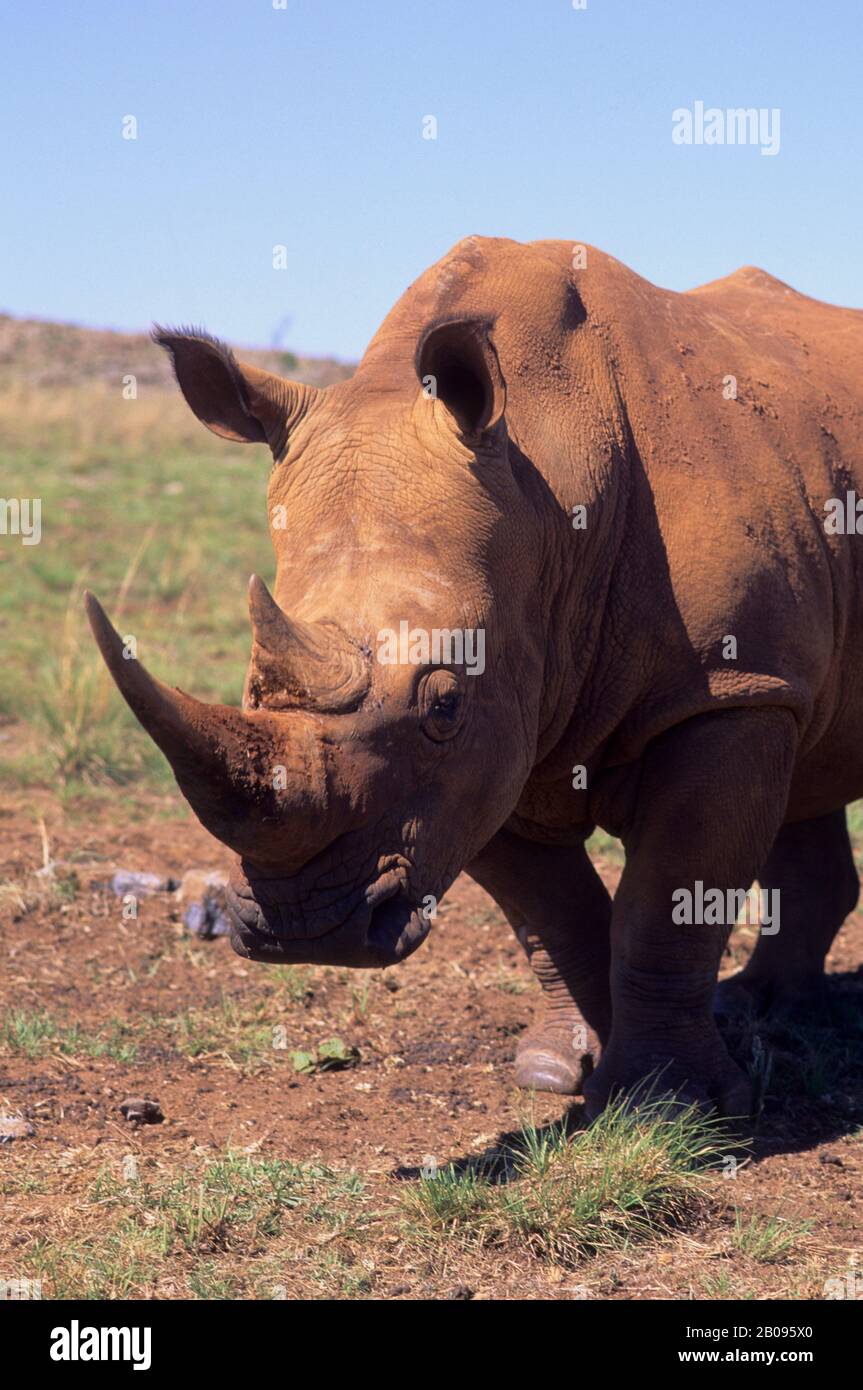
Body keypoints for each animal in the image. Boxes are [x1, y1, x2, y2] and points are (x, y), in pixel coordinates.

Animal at [86, 236, 863, 1119]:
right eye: (250, 690)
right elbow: (552, 916)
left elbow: (666, 906)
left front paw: (671, 1106)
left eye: (442, 705)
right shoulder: (499, 734)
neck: (553, 479)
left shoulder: (722, 692)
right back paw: (765, 1008)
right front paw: (561, 1072)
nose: (306, 929)